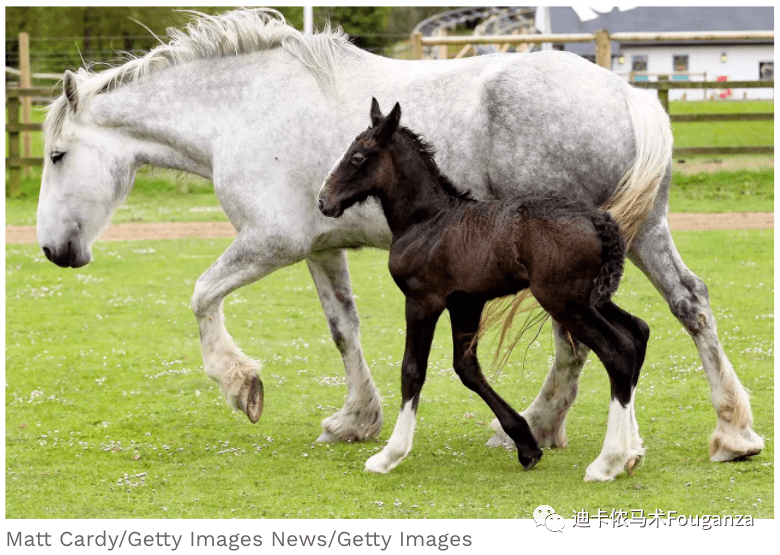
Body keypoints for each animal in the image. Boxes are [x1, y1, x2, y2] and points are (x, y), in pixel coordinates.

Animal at [318, 99, 650, 480]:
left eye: (357, 157)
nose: (323, 201)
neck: (427, 220)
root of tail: (597, 218)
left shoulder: (422, 300)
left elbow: (412, 371)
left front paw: (389, 455)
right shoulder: (466, 303)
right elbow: (467, 368)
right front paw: (527, 446)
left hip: (563, 300)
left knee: (617, 351)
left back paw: (607, 461)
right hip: (590, 297)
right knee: (637, 333)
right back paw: (631, 452)